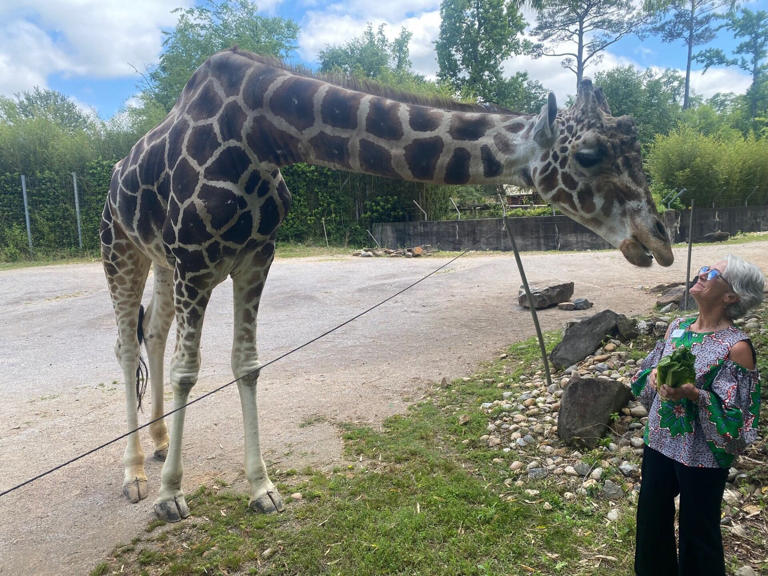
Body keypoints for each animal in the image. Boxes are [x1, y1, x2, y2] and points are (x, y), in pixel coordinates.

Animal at [100, 47, 673, 522]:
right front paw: (170, 496)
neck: (263, 137)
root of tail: (114, 175)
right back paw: (135, 475)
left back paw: (156, 445)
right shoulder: (195, 258)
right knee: (126, 346)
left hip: (162, 262)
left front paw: (262, 489)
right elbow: (187, 373)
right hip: (123, 249)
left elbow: (247, 365)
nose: (660, 241)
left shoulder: (255, 258)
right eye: (589, 154)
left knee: (152, 332)